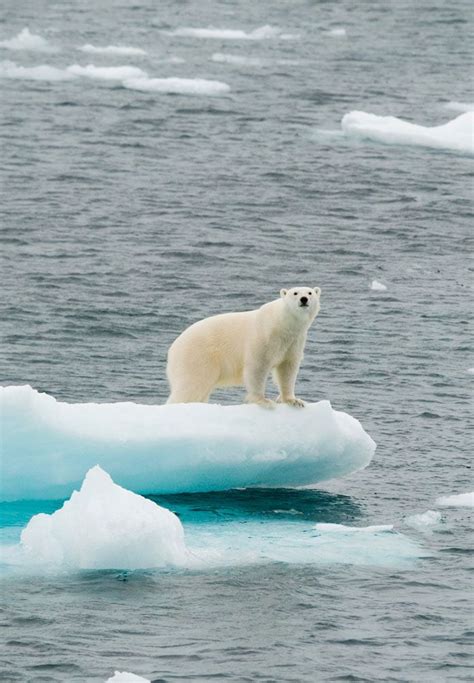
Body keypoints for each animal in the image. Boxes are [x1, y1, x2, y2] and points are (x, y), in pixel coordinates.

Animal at [166, 286, 321, 408]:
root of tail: (172, 350)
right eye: (295, 293)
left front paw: (293, 400)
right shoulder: (263, 337)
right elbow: (257, 367)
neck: (282, 324)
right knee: (192, 385)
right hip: (197, 357)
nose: (304, 299)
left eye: (309, 292)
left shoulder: (293, 342)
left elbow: (287, 369)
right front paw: (264, 401)